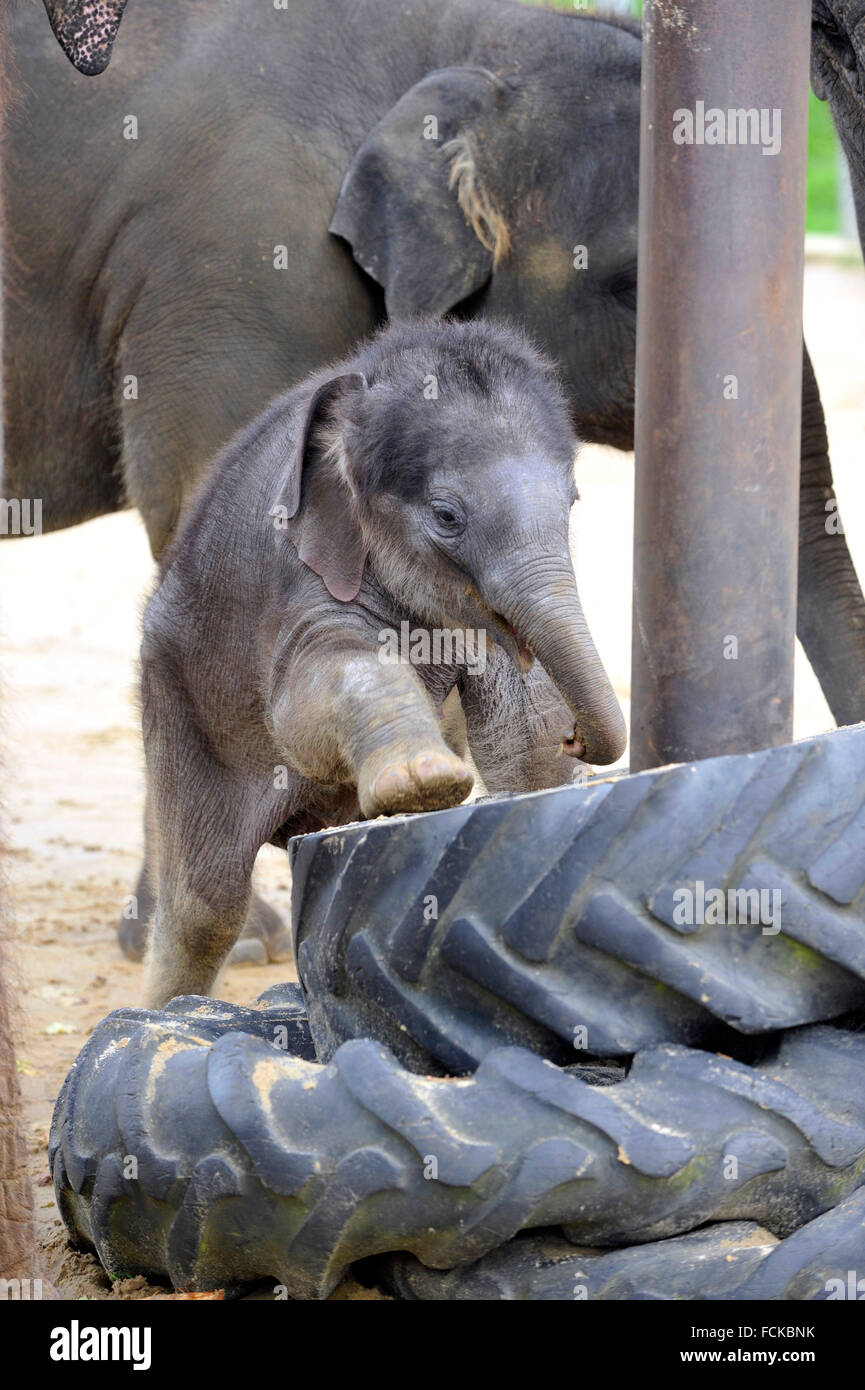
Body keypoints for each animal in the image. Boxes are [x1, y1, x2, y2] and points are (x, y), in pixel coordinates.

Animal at [141, 317, 625, 1007]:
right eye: (447, 516)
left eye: (574, 502)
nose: (578, 737)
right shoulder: (307, 574)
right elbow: (313, 693)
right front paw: (426, 782)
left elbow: (522, 743)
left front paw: (551, 782)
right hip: (179, 700)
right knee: (202, 907)